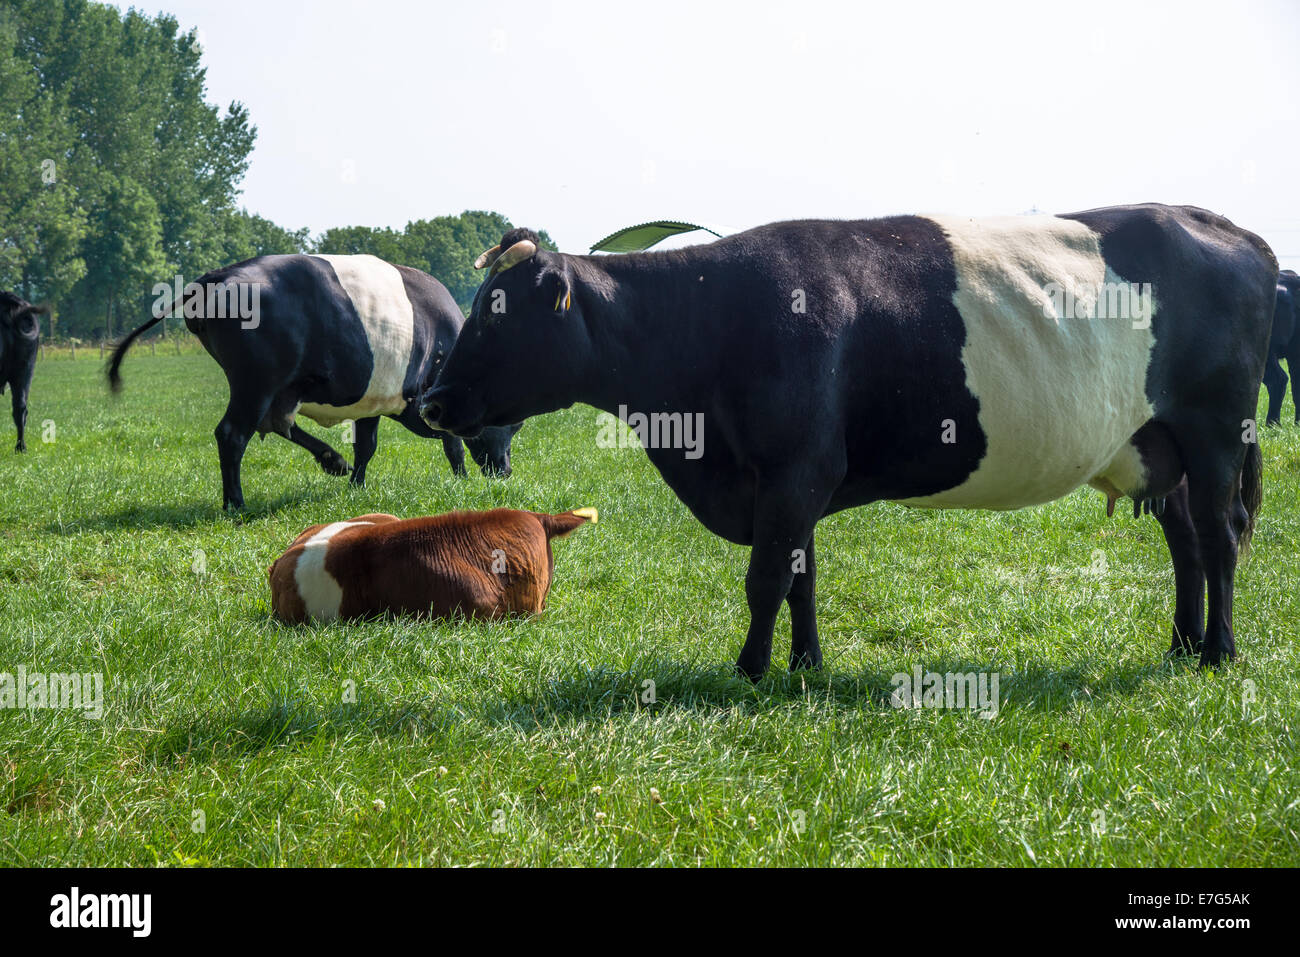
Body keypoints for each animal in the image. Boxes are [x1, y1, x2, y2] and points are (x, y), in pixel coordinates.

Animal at [108, 254, 522, 510]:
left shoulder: (372, 401)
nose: (505, 472)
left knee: (276, 423)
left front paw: (355, 483)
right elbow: (452, 443)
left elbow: (366, 446)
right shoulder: (429, 398)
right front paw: (461, 479)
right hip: (256, 384)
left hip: (272, 389)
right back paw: (235, 503)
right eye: (514, 424)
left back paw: (331, 460)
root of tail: (218, 275)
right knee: (233, 434)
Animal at [420, 205, 1277, 680]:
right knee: (1187, 541)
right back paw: (1182, 645)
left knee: (1220, 535)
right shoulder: (793, 481)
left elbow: (767, 578)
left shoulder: (795, 468)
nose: (431, 399)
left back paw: (1220, 653)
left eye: (496, 313)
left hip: (1215, 432)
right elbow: (801, 576)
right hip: (1159, 446)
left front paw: (749, 671)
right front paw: (806, 666)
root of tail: (1226, 228)